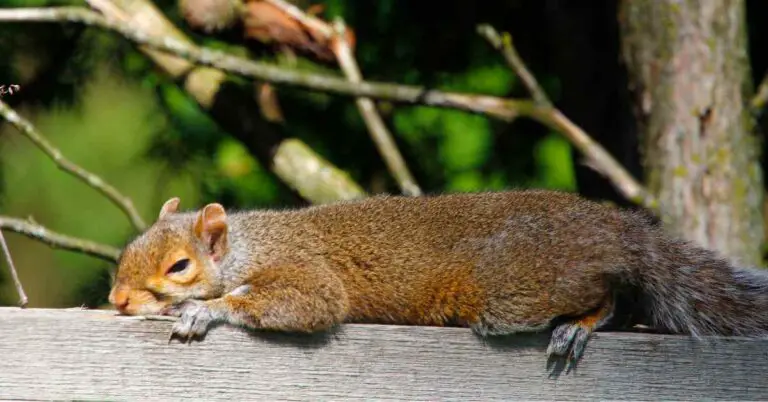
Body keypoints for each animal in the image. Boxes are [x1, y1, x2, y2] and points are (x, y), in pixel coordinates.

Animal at [109, 189, 768, 366]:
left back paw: (581, 324)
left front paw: (202, 310)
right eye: (128, 252)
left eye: (179, 267)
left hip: (512, 291)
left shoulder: (307, 273)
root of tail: (615, 226)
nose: (115, 300)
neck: (247, 248)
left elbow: (312, 301)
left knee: (607, 295)